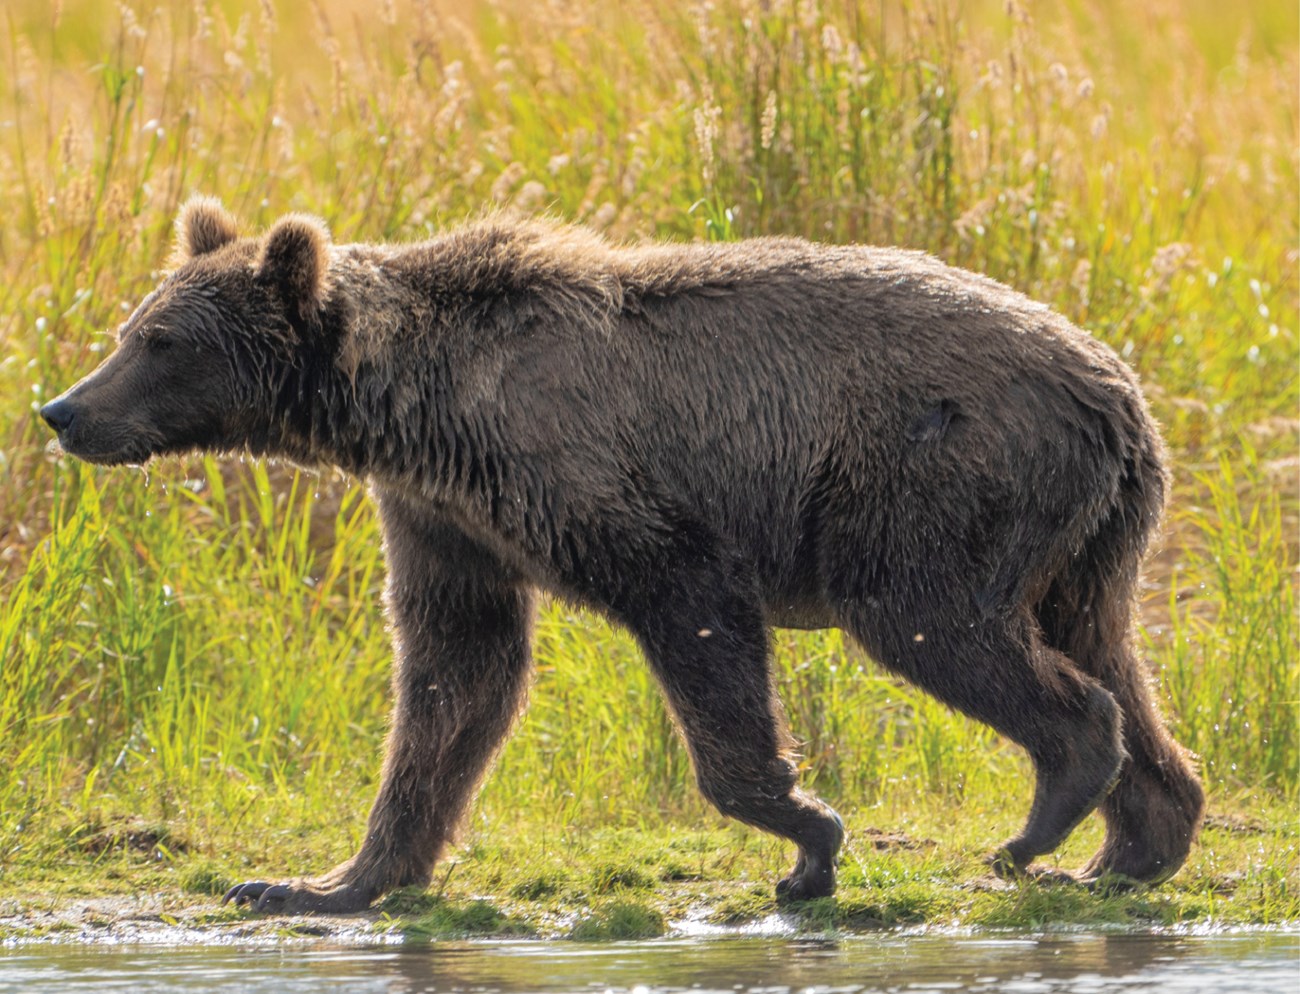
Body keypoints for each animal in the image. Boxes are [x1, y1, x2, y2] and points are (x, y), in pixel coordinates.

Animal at [40, 196, 1205, 914]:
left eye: (158, 341)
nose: (63, 410)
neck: (413, 408)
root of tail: (1117, 388)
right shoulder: (445, 515)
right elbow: (454, 676)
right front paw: (322, 880)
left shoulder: (600, 484)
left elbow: (692, 620)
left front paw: (807, 840)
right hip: (1090, 530)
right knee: (1105, 647)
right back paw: (1128, 848)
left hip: (939, 478)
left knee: (942, 624)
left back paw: (1039, 824)